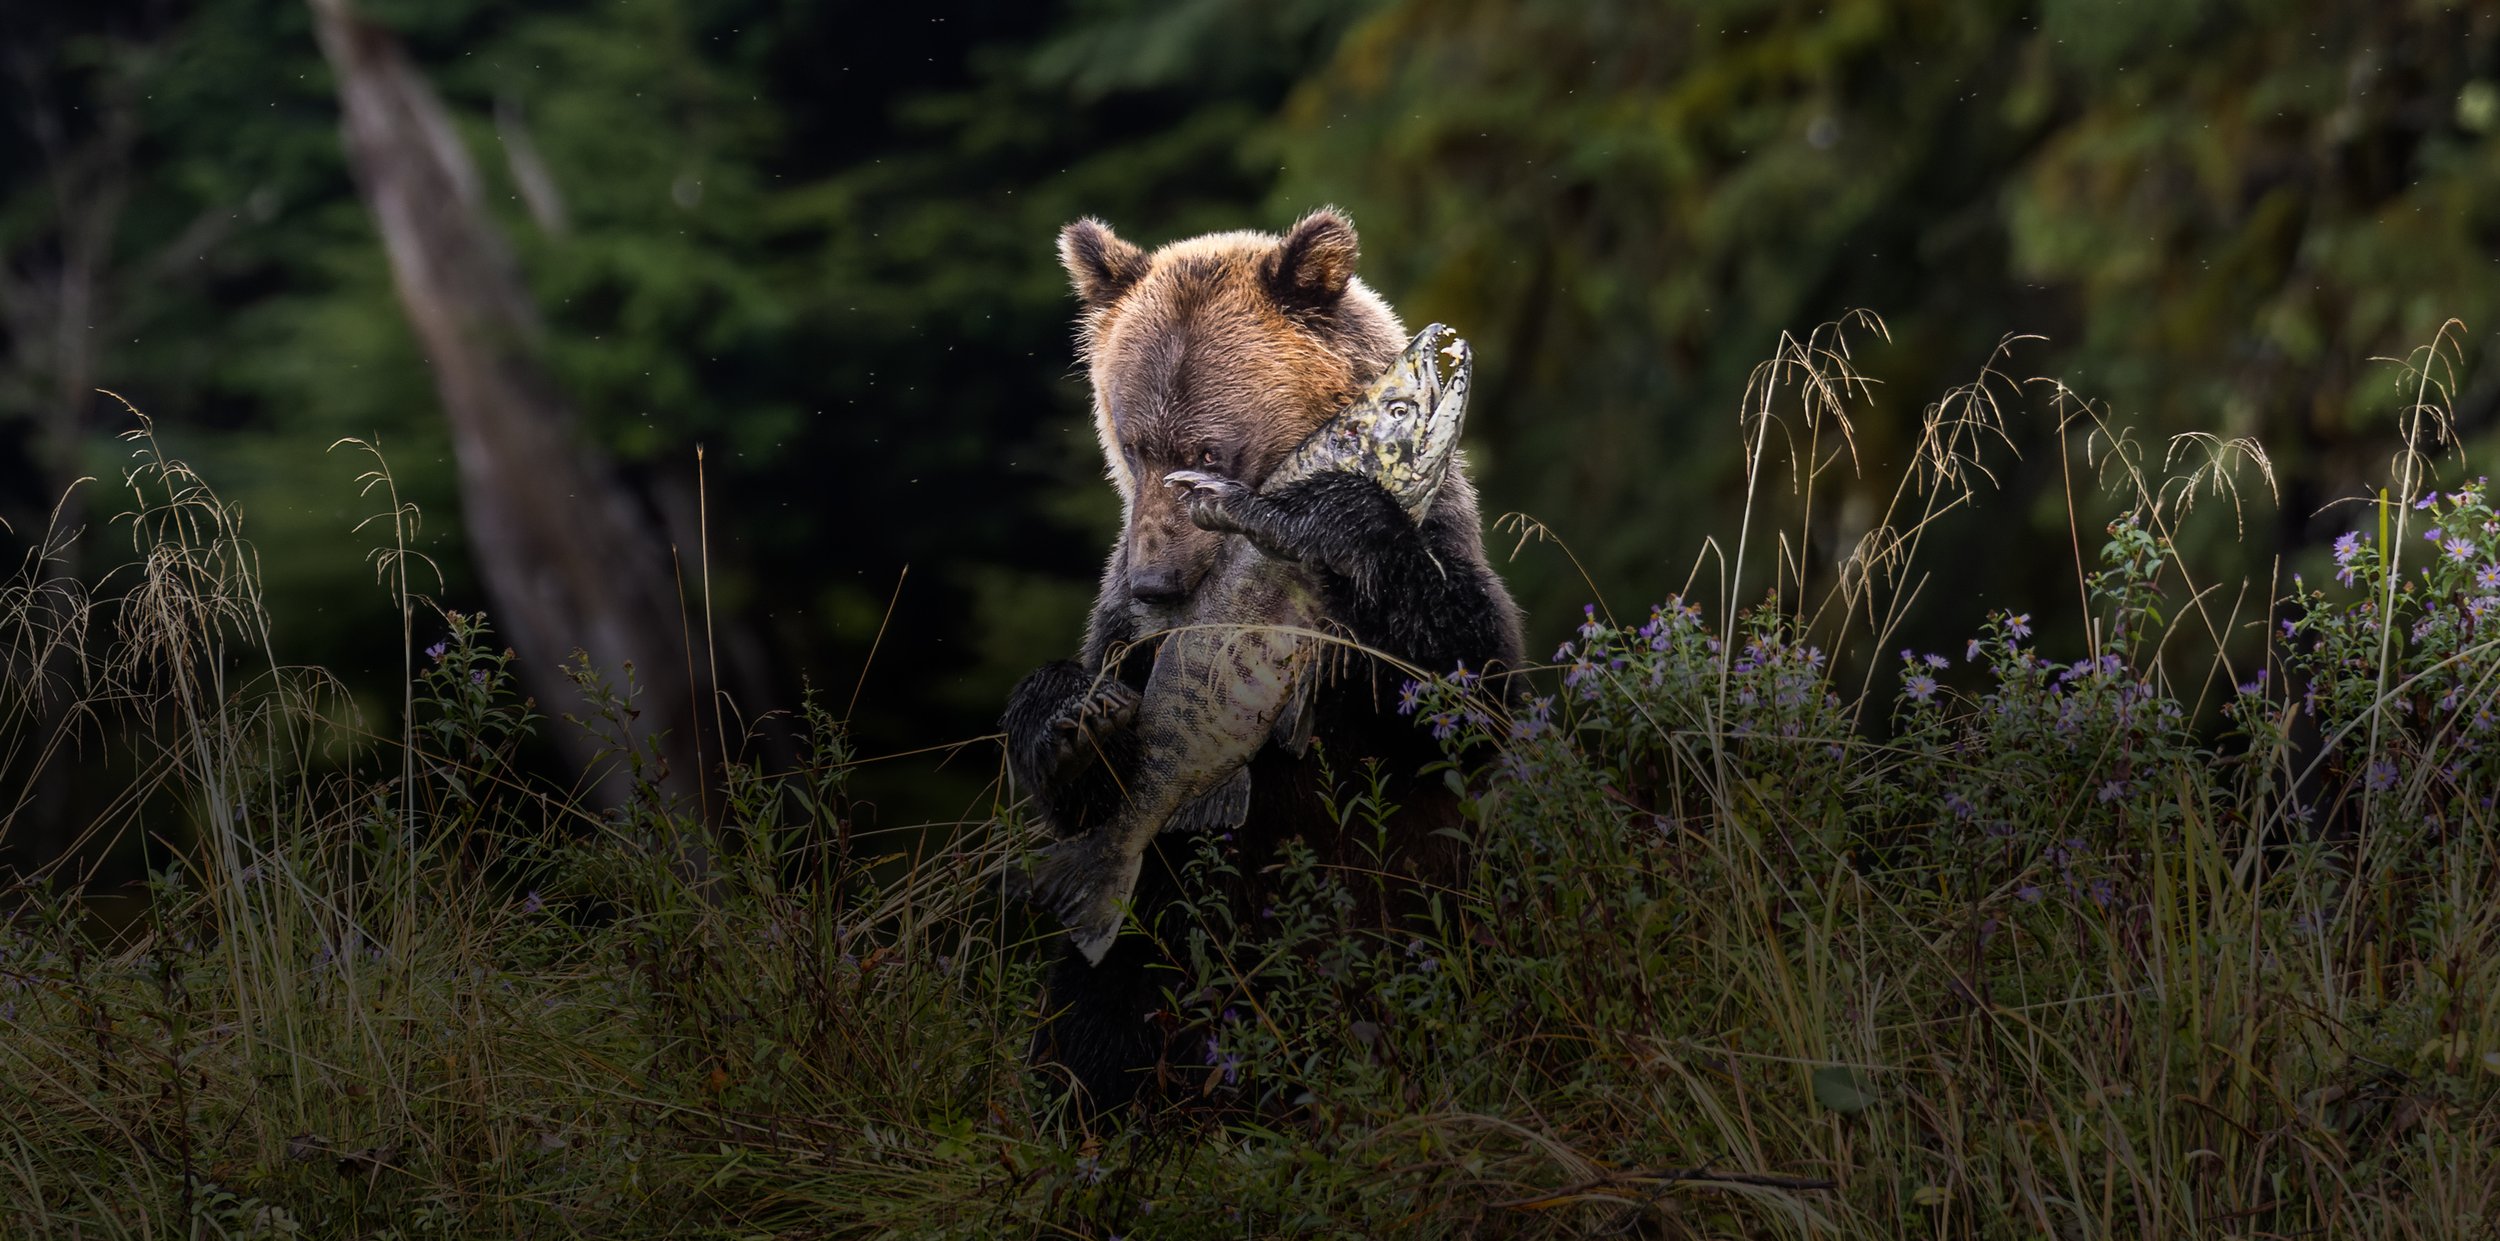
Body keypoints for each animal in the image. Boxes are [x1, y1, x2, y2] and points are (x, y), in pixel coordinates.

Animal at [1001, 207, 1525, 1115]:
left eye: (1211, 450)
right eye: (1131, 443)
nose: (1156, 579)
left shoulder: (1432, 578)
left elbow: (1464, 697)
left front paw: (1335, 513)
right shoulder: (1129, 639)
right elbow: (1099, 787)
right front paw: (1072, 720)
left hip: (1443, 907)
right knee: (1104, 1002)